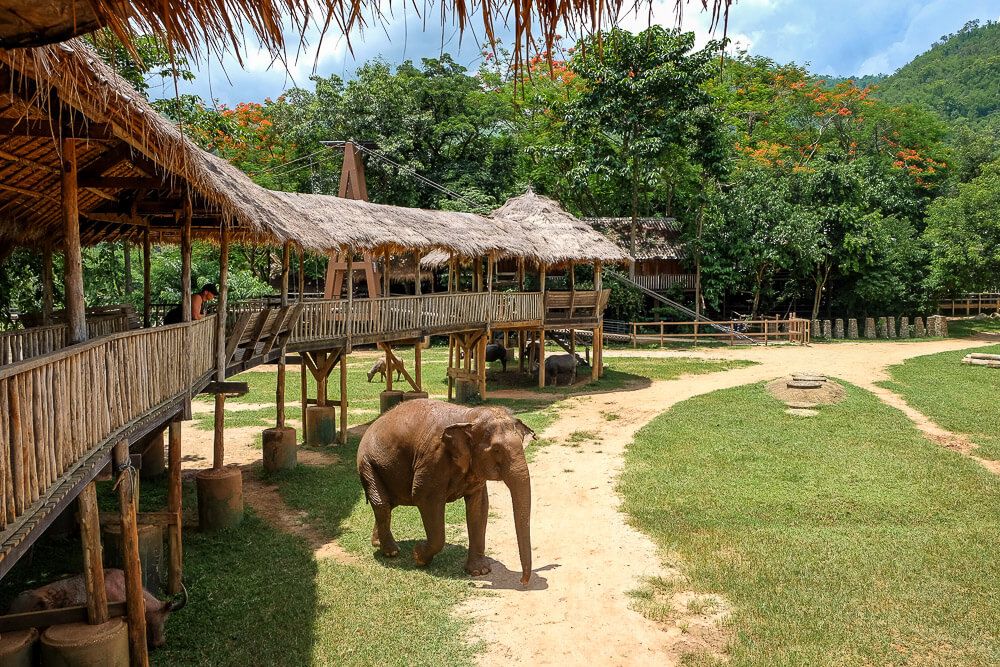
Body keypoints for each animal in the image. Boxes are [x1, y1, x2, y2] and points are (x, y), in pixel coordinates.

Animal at [357, 398, 535, 584]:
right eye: (497, 450)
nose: (523, 581)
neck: (468, 416)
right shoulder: (432, 459)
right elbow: (425, 498)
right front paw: (418, 556)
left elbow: (479, 506)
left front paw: (479, 571)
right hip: (367, 463)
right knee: (382, 504)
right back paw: (391, 552)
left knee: (388, 504)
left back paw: (379, 544)